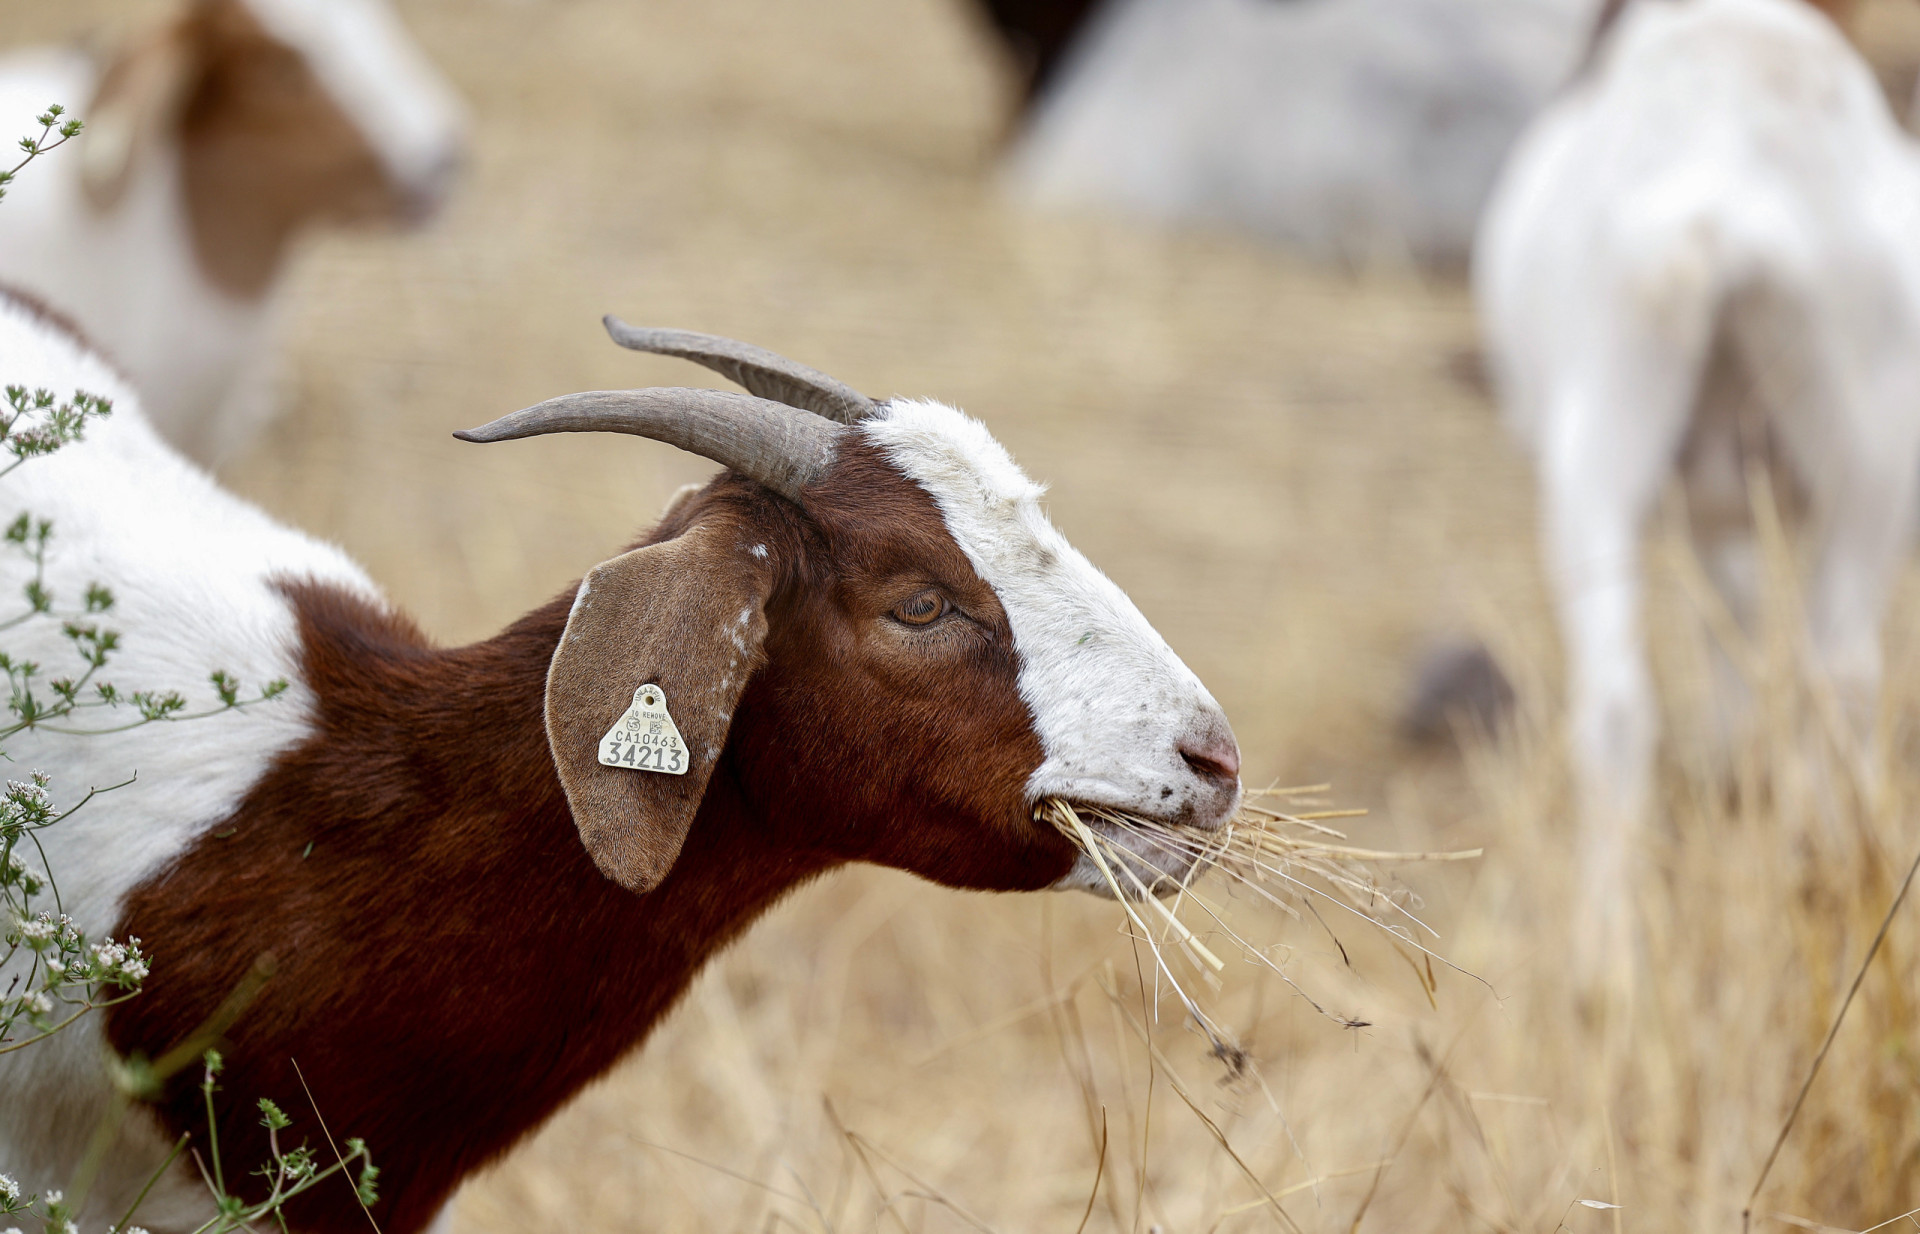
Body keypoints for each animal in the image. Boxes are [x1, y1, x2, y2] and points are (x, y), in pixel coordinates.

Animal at [1474, 0, 1920, 962]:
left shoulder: (1707, 510)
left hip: (1602, 446)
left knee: (1619, 703)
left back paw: (1608, 960)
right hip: (1872, 459)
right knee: (1842, 679)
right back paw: (1837, 879)